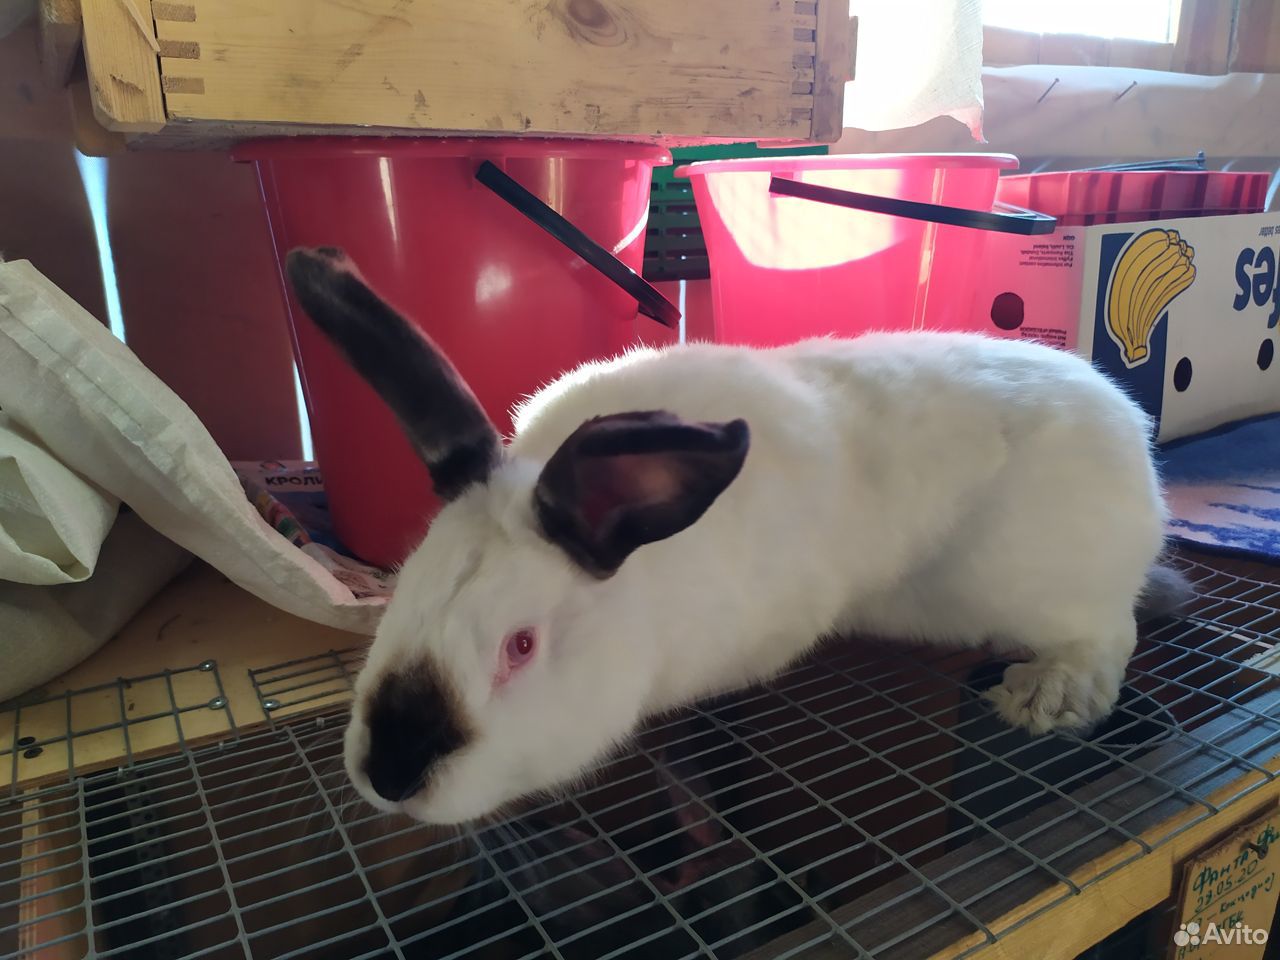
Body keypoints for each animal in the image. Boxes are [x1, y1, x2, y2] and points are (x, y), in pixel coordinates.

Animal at [283, 246, 1187, 827]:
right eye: (403, 588)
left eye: (521, 647)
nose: (390, 776)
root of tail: (1134, 438)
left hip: (1050, 589)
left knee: (1111, 634)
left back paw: (1045, 695)